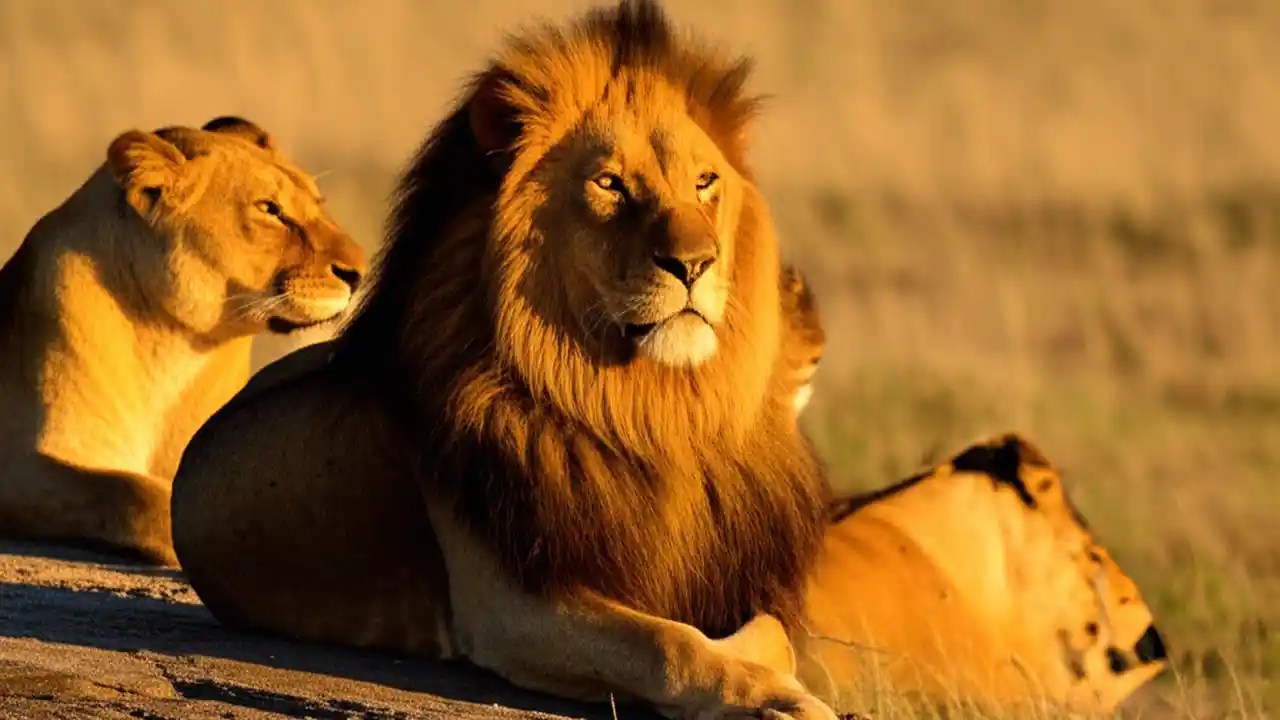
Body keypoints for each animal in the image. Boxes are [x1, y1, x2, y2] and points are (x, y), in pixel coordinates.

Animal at [0, 116, 366, 566]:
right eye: (269, 209)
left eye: (319, 201)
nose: (359, 273)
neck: (173, 345)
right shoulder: (21, 462)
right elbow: (137, 495)